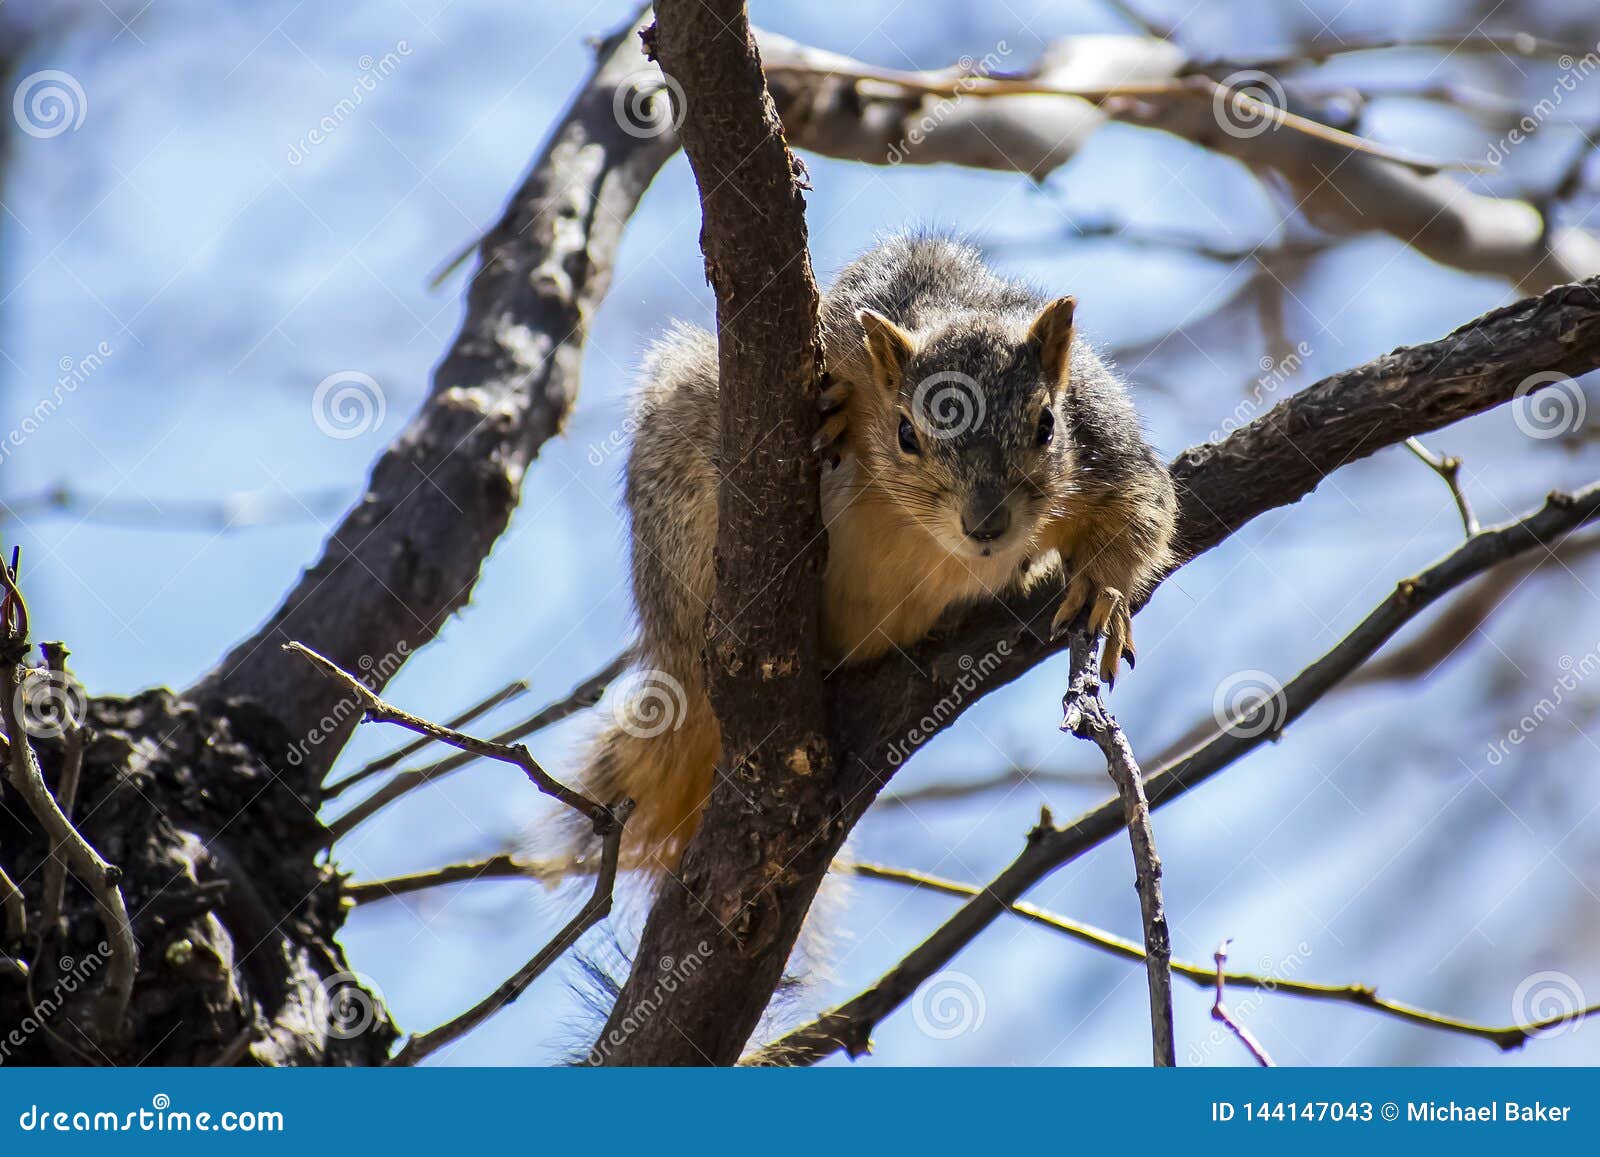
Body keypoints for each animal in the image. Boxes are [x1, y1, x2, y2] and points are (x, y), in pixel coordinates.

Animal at [588, 233, 1176, 873]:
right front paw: (842, 407)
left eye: (1047, 425)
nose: (986, 524)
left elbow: (1144, 511)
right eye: (906, 434)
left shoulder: (1106, 441)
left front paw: (1104, 593)